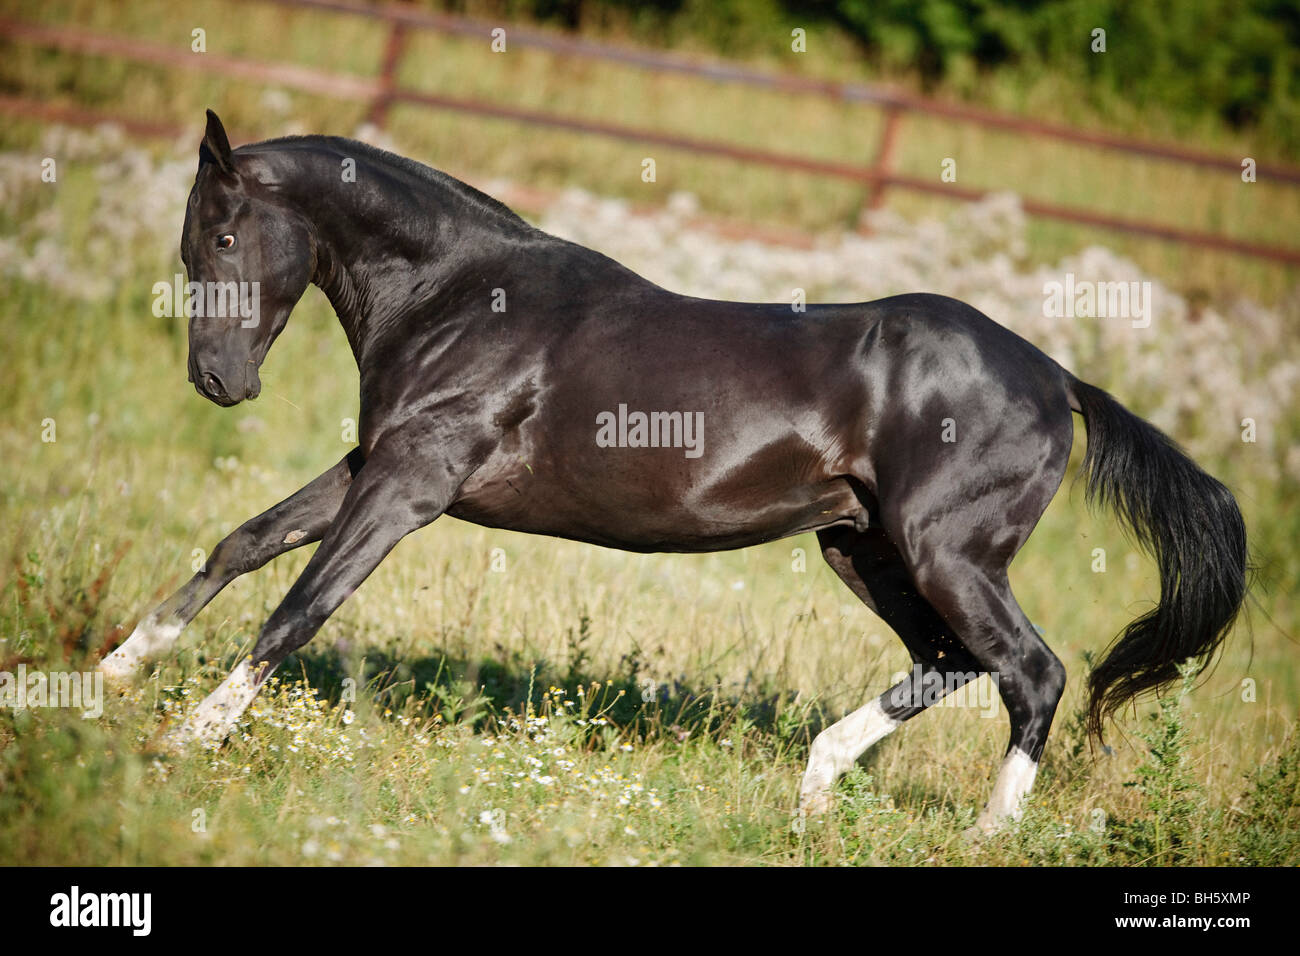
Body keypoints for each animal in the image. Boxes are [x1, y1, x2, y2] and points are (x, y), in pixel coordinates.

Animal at [100, 110, 1247, 833]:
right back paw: (814, 789)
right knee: (956, 660)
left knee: (1031, 671)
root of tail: (1057, 379)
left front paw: (183, 738)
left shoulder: (411, 486)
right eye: (195, 244)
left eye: (225, 236)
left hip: (947, 552)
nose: (218, 381)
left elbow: (299, 606)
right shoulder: (374, 464)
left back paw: (982, 835)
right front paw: (108, 676)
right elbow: (242, 543)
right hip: (864, 548)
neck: (463, 297)